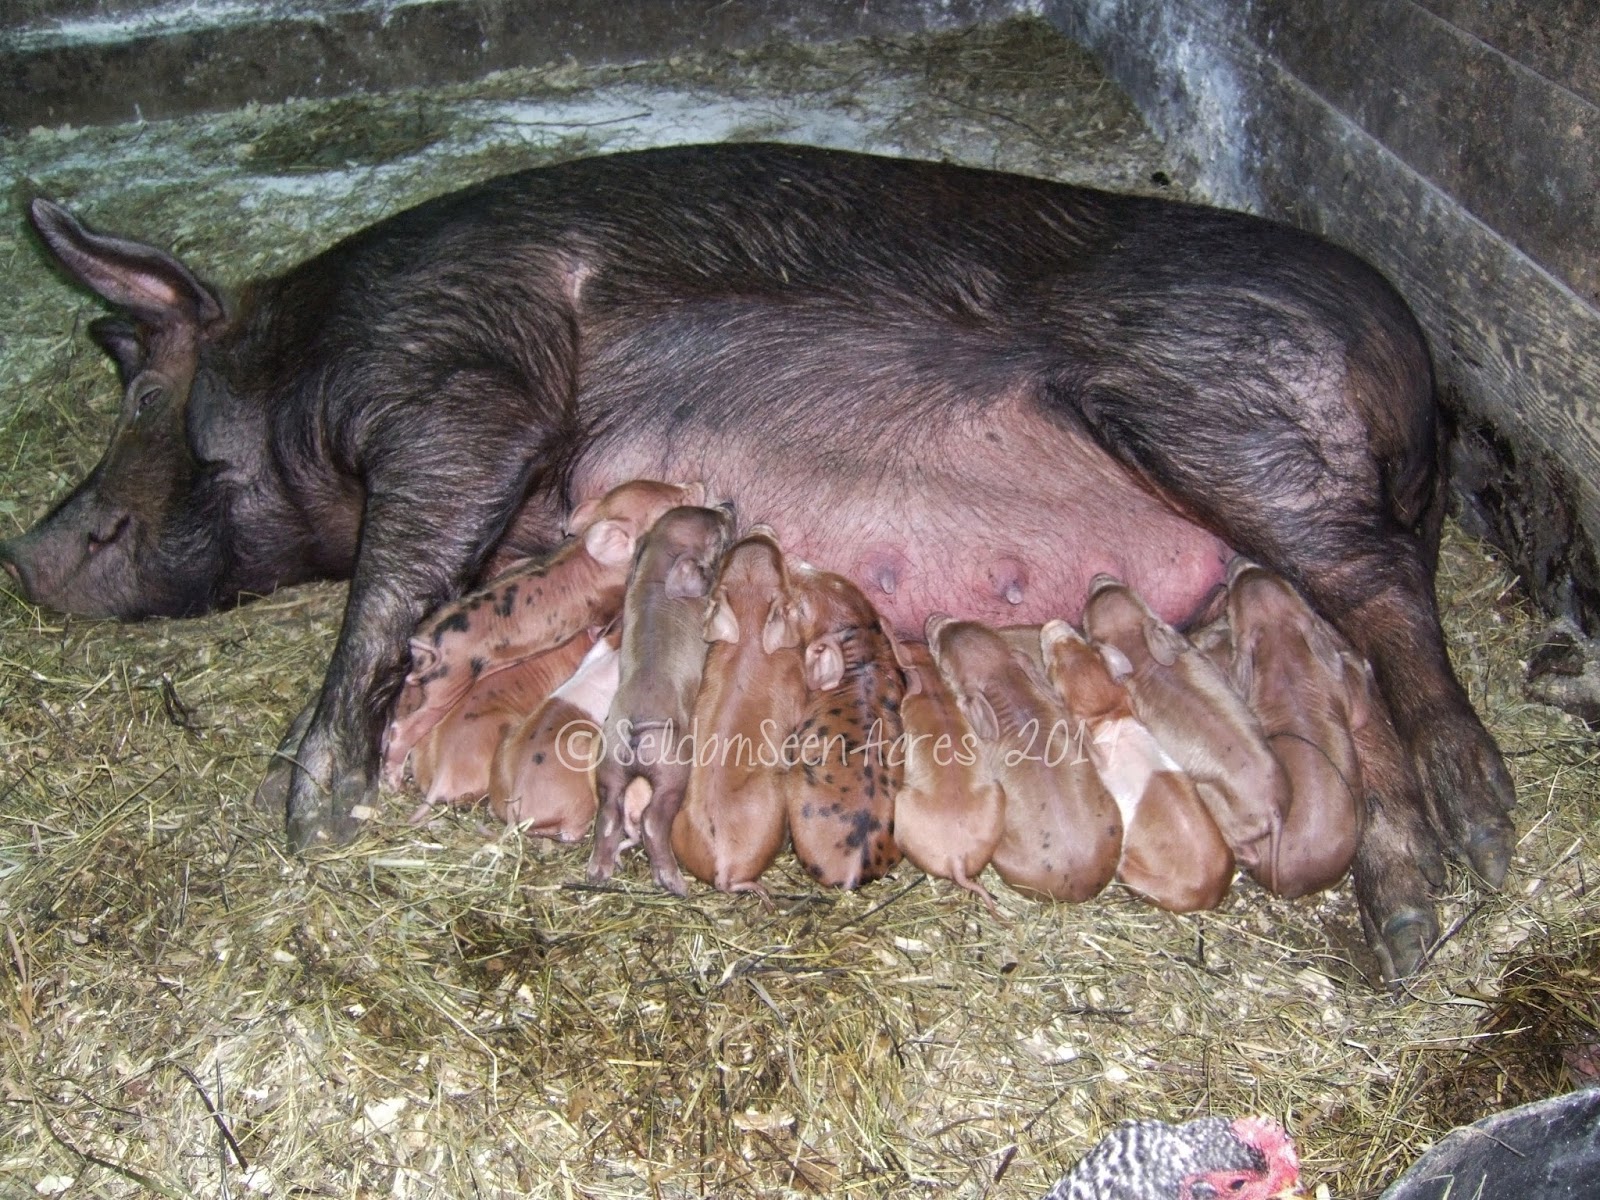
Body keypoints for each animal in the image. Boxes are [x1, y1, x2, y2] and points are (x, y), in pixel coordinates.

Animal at [382, 478, 702, 782]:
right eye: (670, 506)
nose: (697, 484)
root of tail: (425, 639)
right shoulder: (609, 603)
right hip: (448, 683)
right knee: (404, 728)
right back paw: (393, 777)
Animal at [587, 504, 735, 894]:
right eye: (717, 532)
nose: (729, 505)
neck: (655, 571)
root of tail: (635, 726)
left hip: (608, 766)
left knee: (609, 813)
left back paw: (599, 872)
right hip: (672, 770)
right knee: (654, 820)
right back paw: (674, 882)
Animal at [1040, 619, 1233, 912]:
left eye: (1052, 668)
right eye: (1084, 645)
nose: (1052, 623)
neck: (1107, 713)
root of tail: (1212, 894)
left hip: (1136, 876)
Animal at [1082, 575, 1289, 871]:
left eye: (1084, 620)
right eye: (1125, 587)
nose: (1097, 576)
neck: (1146, 659)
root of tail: (1275, 810)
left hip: (1214, 801)